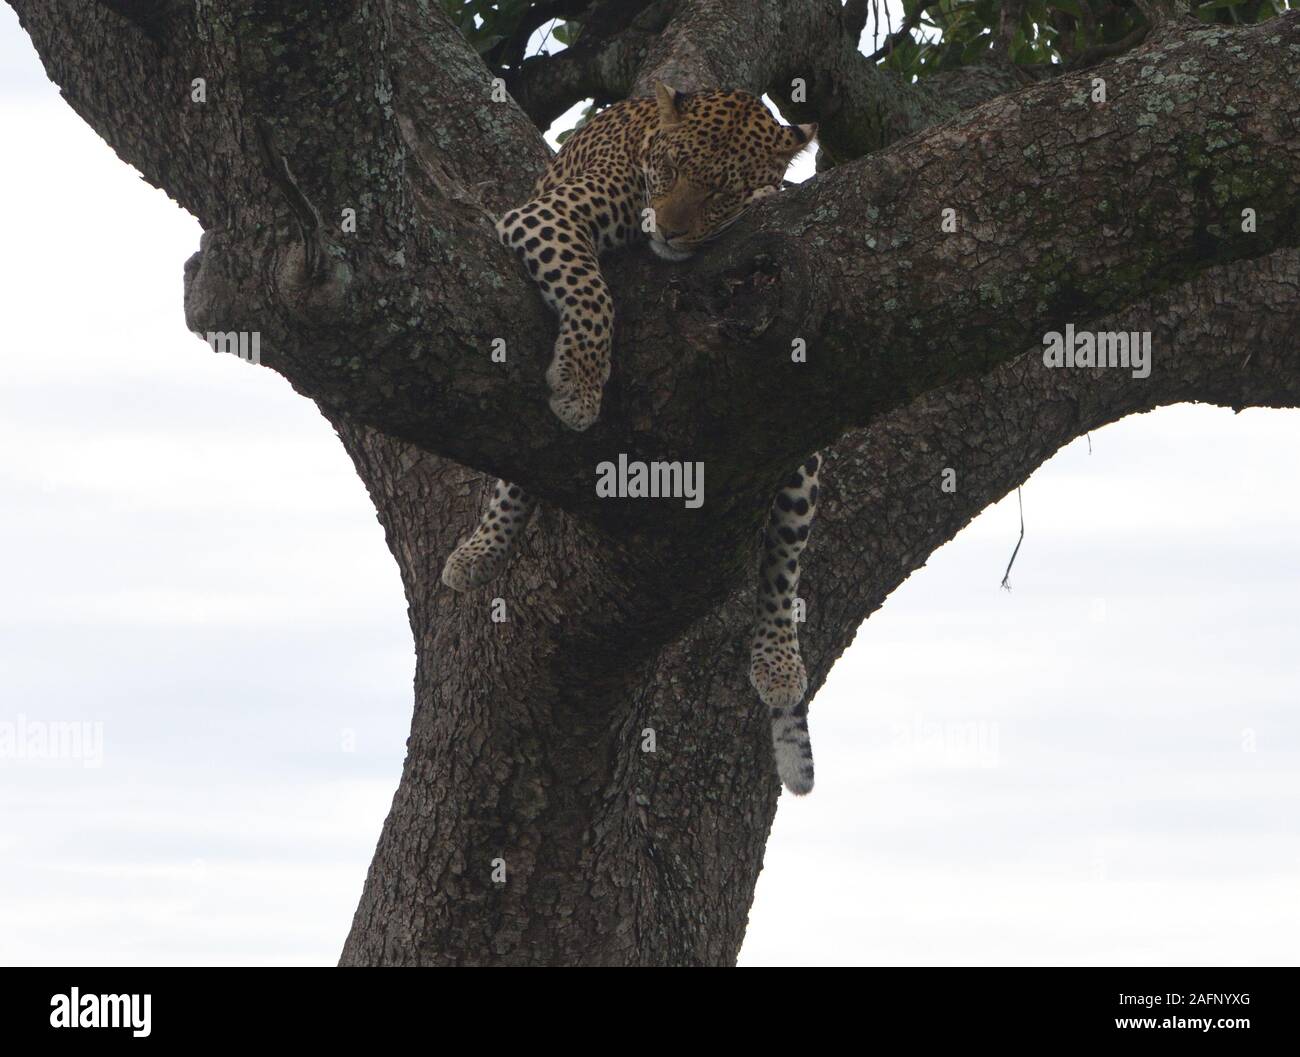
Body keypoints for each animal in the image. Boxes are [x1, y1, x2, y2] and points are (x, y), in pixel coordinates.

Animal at [441, 84, 823, 794]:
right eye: (670, 170)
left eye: (721, 192)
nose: (669, 231)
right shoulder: (549, 214)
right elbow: (592, 292)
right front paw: (579, 386)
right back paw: (477, 552)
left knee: (783, 562)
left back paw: (779, 663)